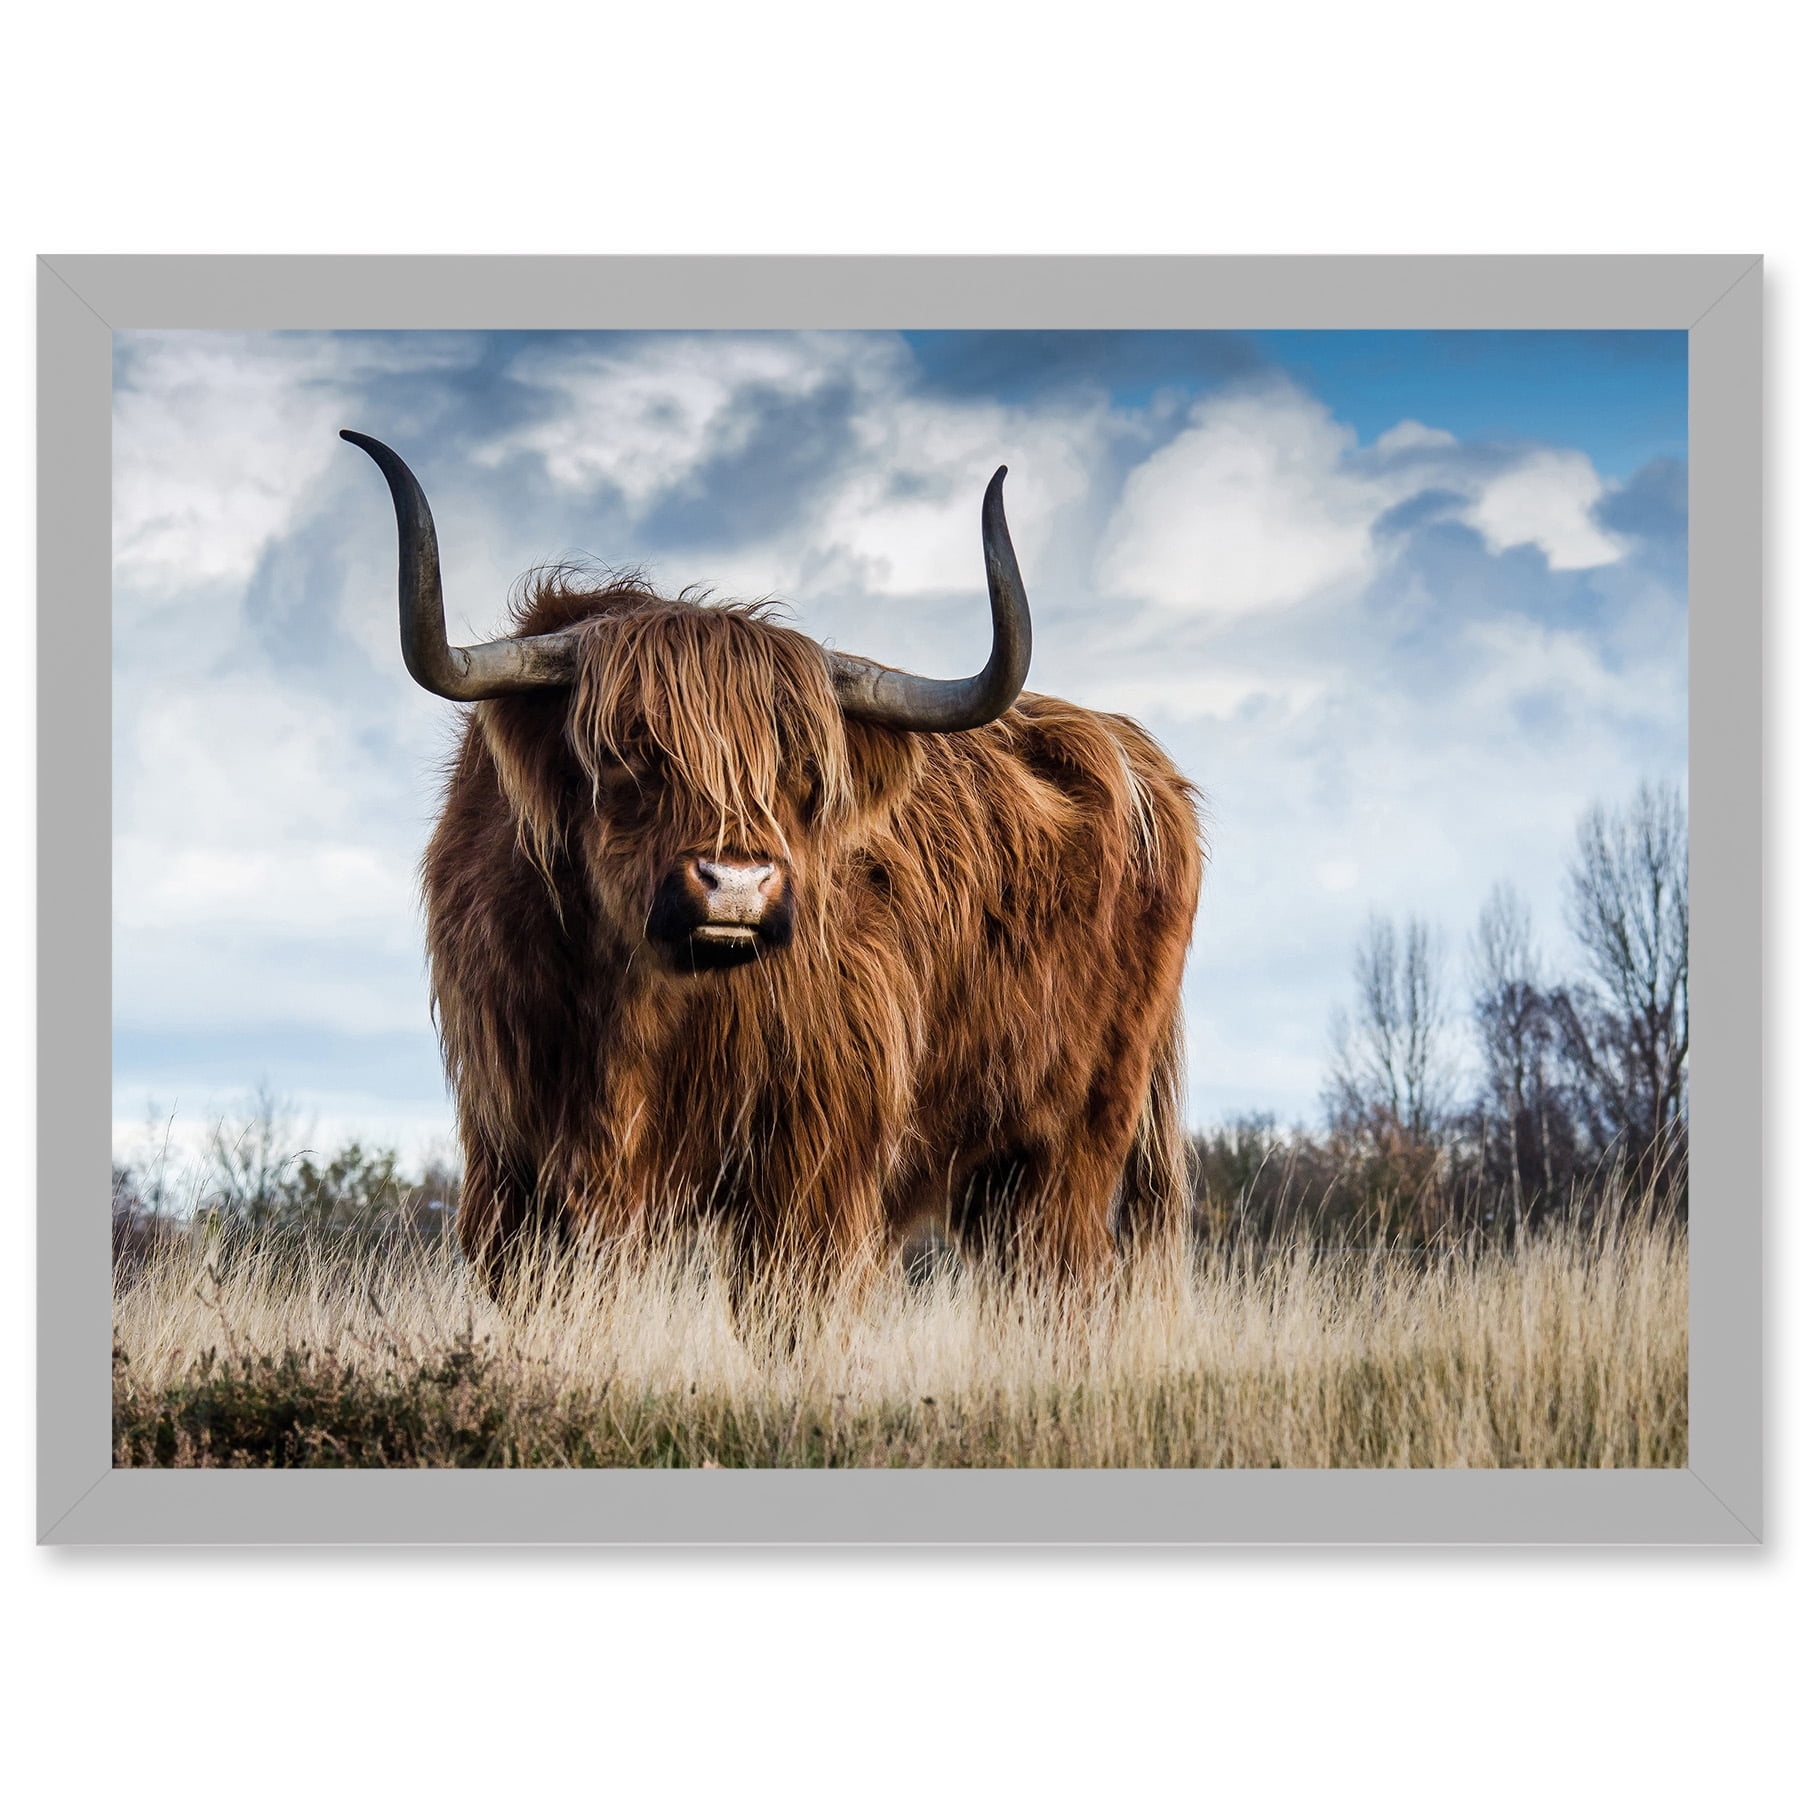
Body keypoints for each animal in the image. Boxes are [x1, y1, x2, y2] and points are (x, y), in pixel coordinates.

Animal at [342, 430, 1203, 1298]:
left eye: (803, 770)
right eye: (628, 752)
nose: (737, 885)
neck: (633, 1009)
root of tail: (1137, 754)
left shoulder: (815, 1159)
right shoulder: (513, 1156)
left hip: (1073, 1140)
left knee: (1064, 1274)